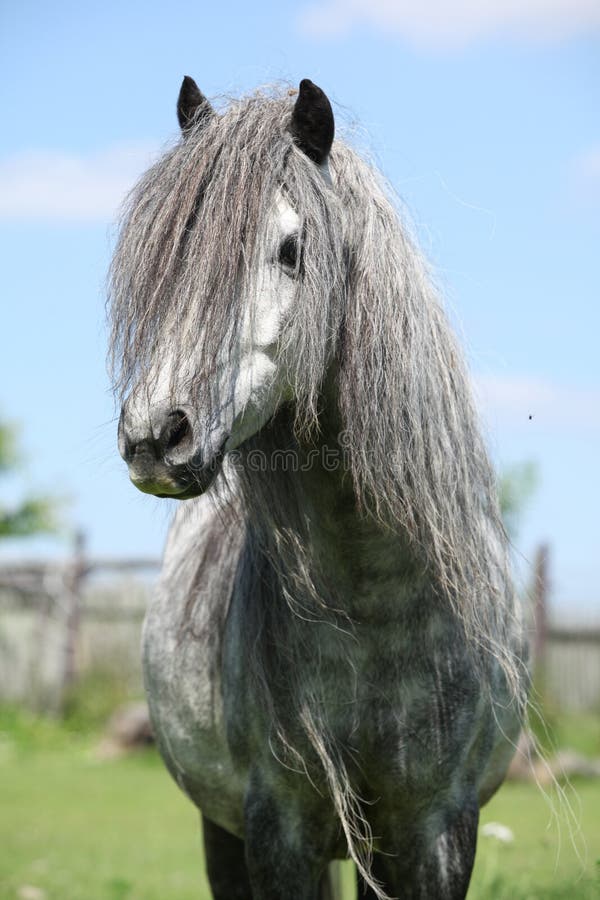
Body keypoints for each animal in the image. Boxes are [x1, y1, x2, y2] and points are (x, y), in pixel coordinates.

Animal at [109, 77, 527, 899]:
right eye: (172, 251)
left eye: (289, 249)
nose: (154, 437)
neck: (375, 606)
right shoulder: (279, 829)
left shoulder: (436, 830)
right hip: (222, 830)